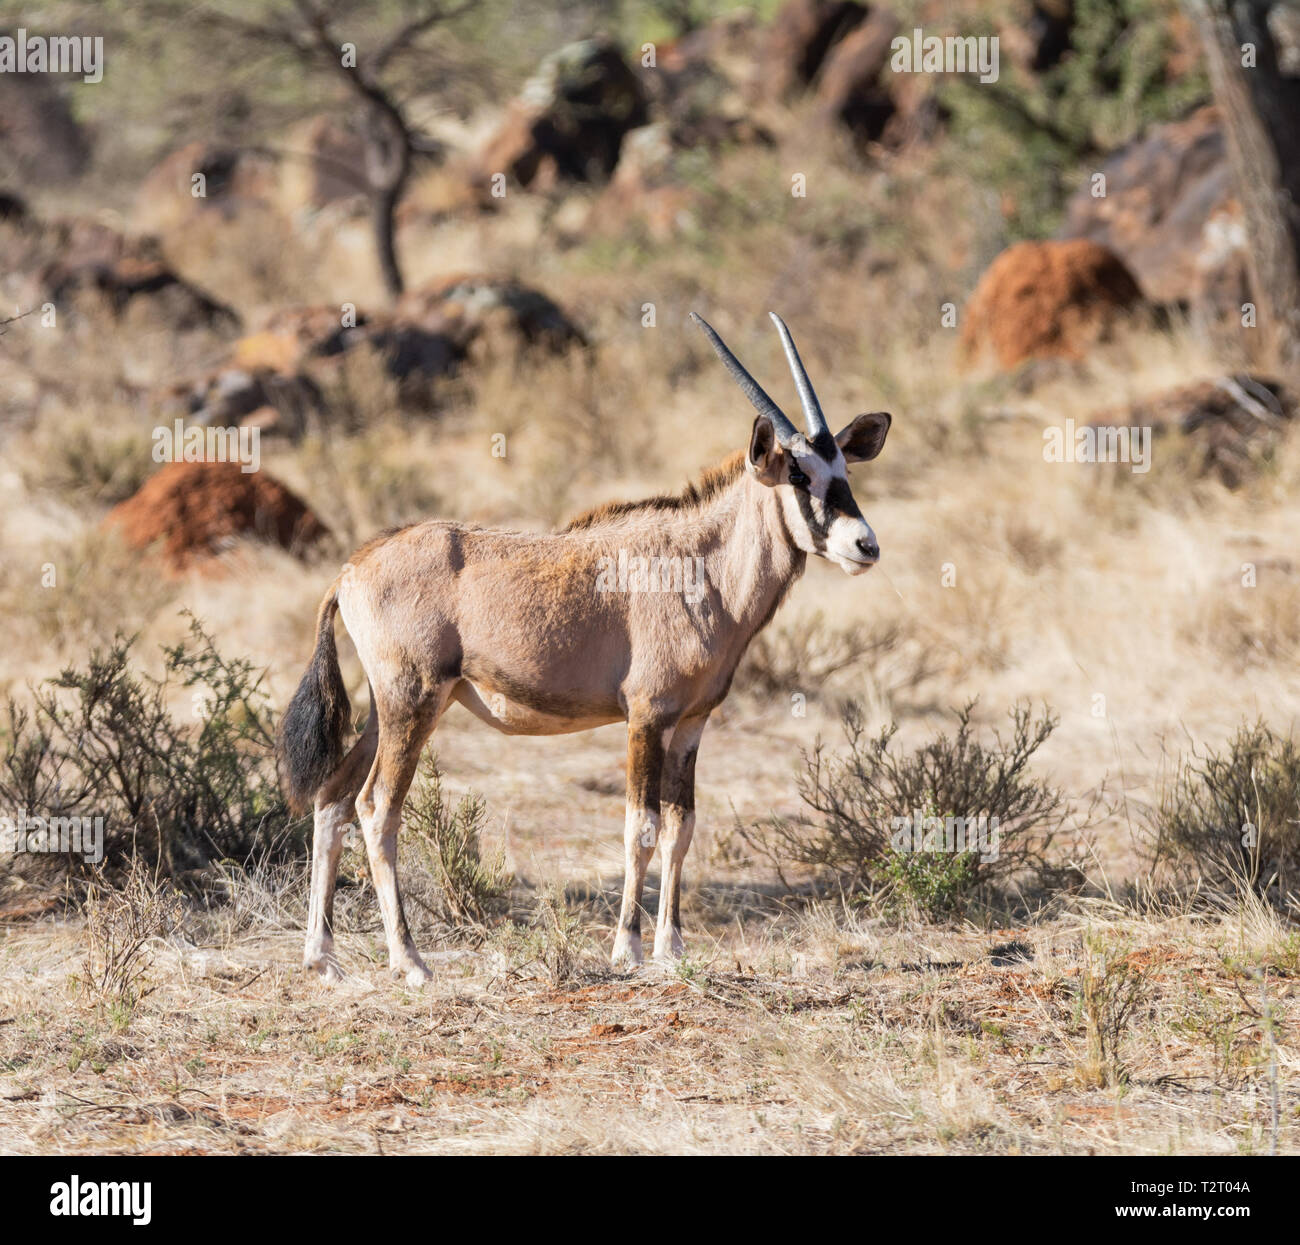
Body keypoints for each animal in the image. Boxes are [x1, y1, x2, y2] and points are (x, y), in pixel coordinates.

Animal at [278, 313, 892, 985]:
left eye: (845, 473)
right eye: (800, 476)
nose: (865, 546)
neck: (702, 563)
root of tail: (350, 571)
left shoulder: (692, 724)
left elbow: (682, 827)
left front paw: (673, 947)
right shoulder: (646, 717)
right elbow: (641, 827)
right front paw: (627, 948)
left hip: (390, 711)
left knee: (333, 799)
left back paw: (321, 956)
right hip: (411, 704)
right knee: (377, 807)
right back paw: (408, 959)